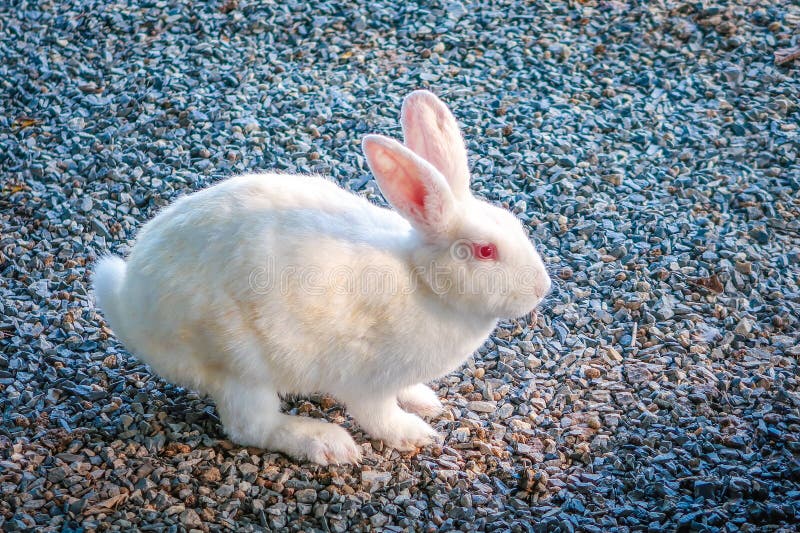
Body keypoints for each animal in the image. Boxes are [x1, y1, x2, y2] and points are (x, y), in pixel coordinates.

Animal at [92, 90, 551, 465]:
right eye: (485, 251)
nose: (541, 289)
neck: (423, 282)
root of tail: (131, 305)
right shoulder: (368, 381)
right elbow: (379, 416)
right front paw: (416, 434)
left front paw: (425, 400)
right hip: (239, 363)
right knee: (250, 426)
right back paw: (327, 444)